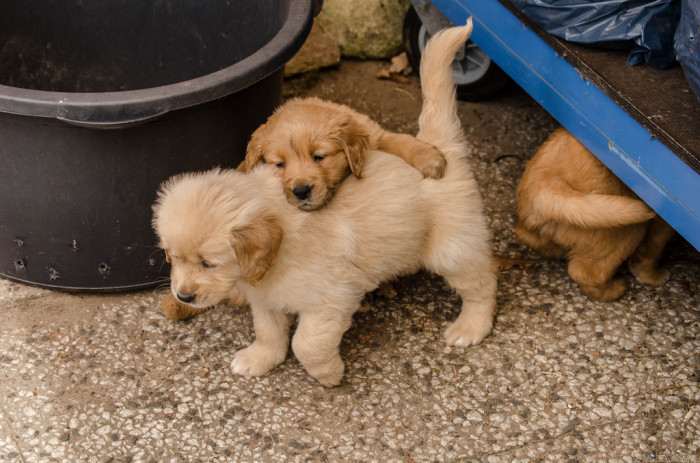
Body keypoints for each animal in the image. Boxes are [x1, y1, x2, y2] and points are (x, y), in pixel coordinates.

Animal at [238, 98, 446, 212]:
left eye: (319, 157)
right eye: (279, 164)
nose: (301, 191)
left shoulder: (374, 134)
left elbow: (397, 140)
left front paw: (429, 158)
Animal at [516, 129, 676, 300]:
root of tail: (546, 184)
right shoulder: (663, 222)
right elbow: (653, 247)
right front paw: (652, 276)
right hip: (626, 227)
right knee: (584, 272)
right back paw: (612, 290)